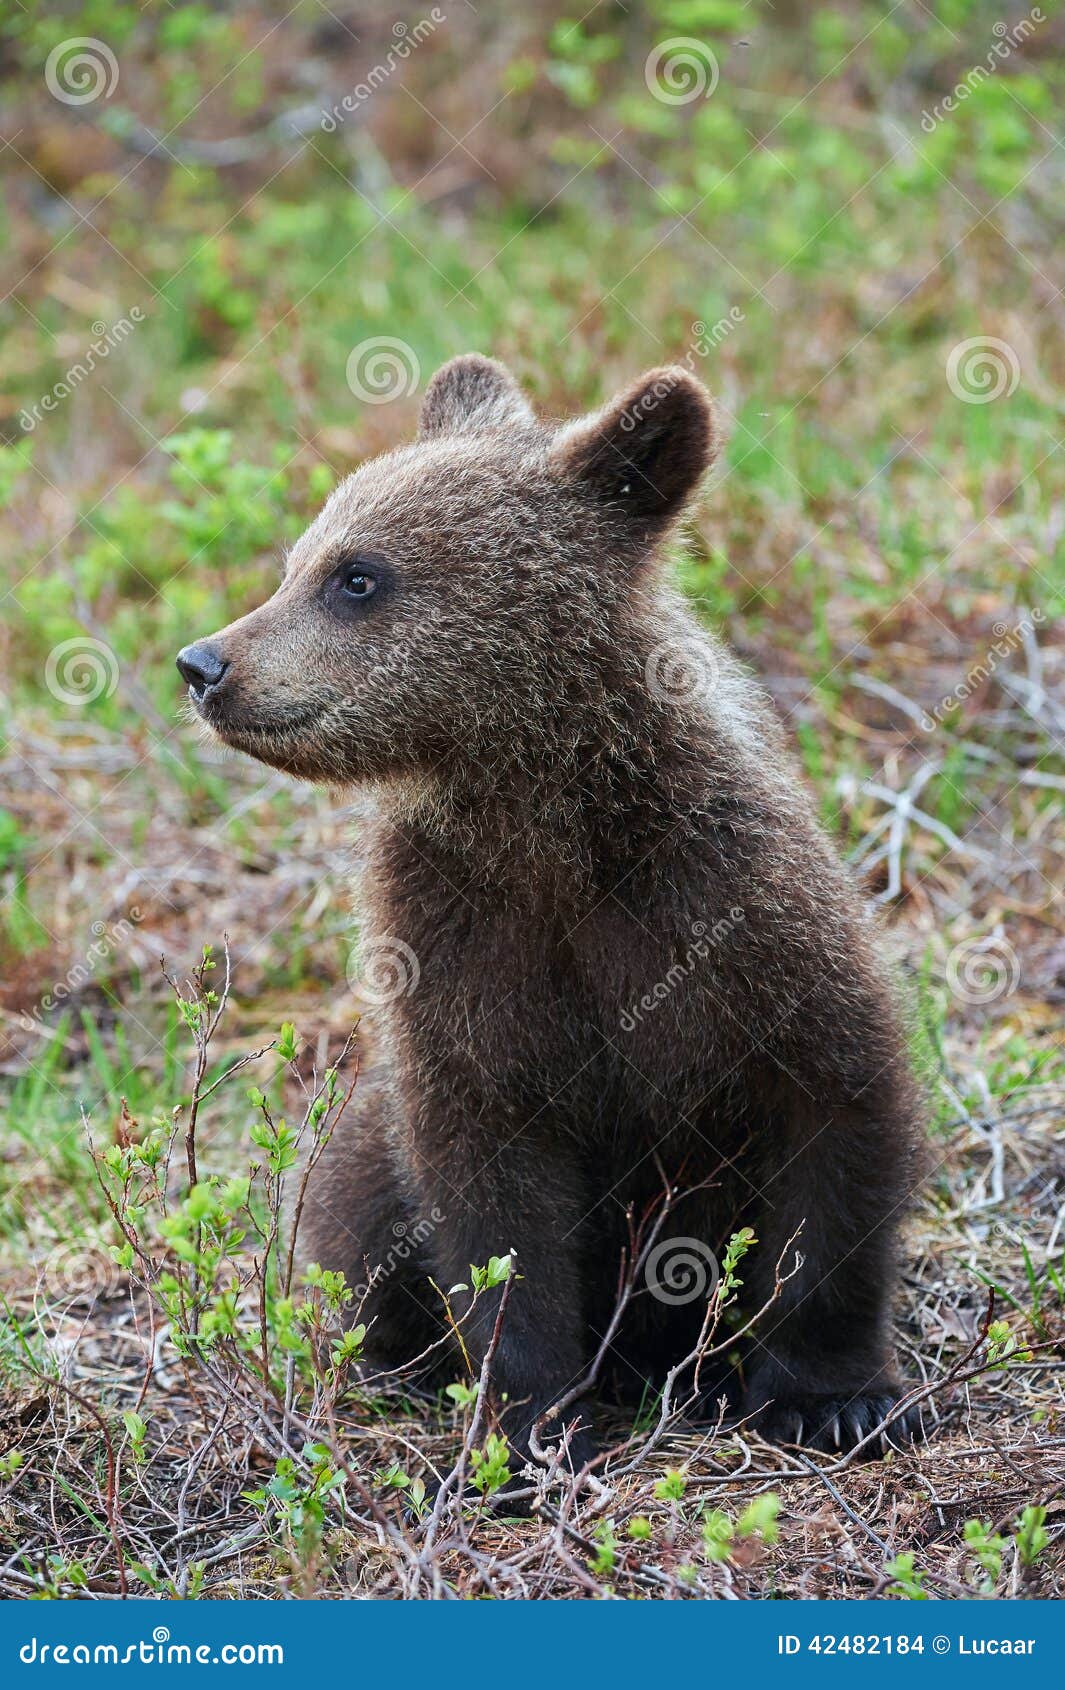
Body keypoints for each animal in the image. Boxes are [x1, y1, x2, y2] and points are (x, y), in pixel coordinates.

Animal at [177, 353, 923, 1479]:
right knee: (356, 1198)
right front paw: (525, 1427)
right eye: (299, 557)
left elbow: (835, 1113)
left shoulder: (729, 913)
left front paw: (831, 1396)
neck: (544, 819)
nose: (205, 664)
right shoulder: (459, 944)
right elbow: (494, 1195)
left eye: (357, 575)